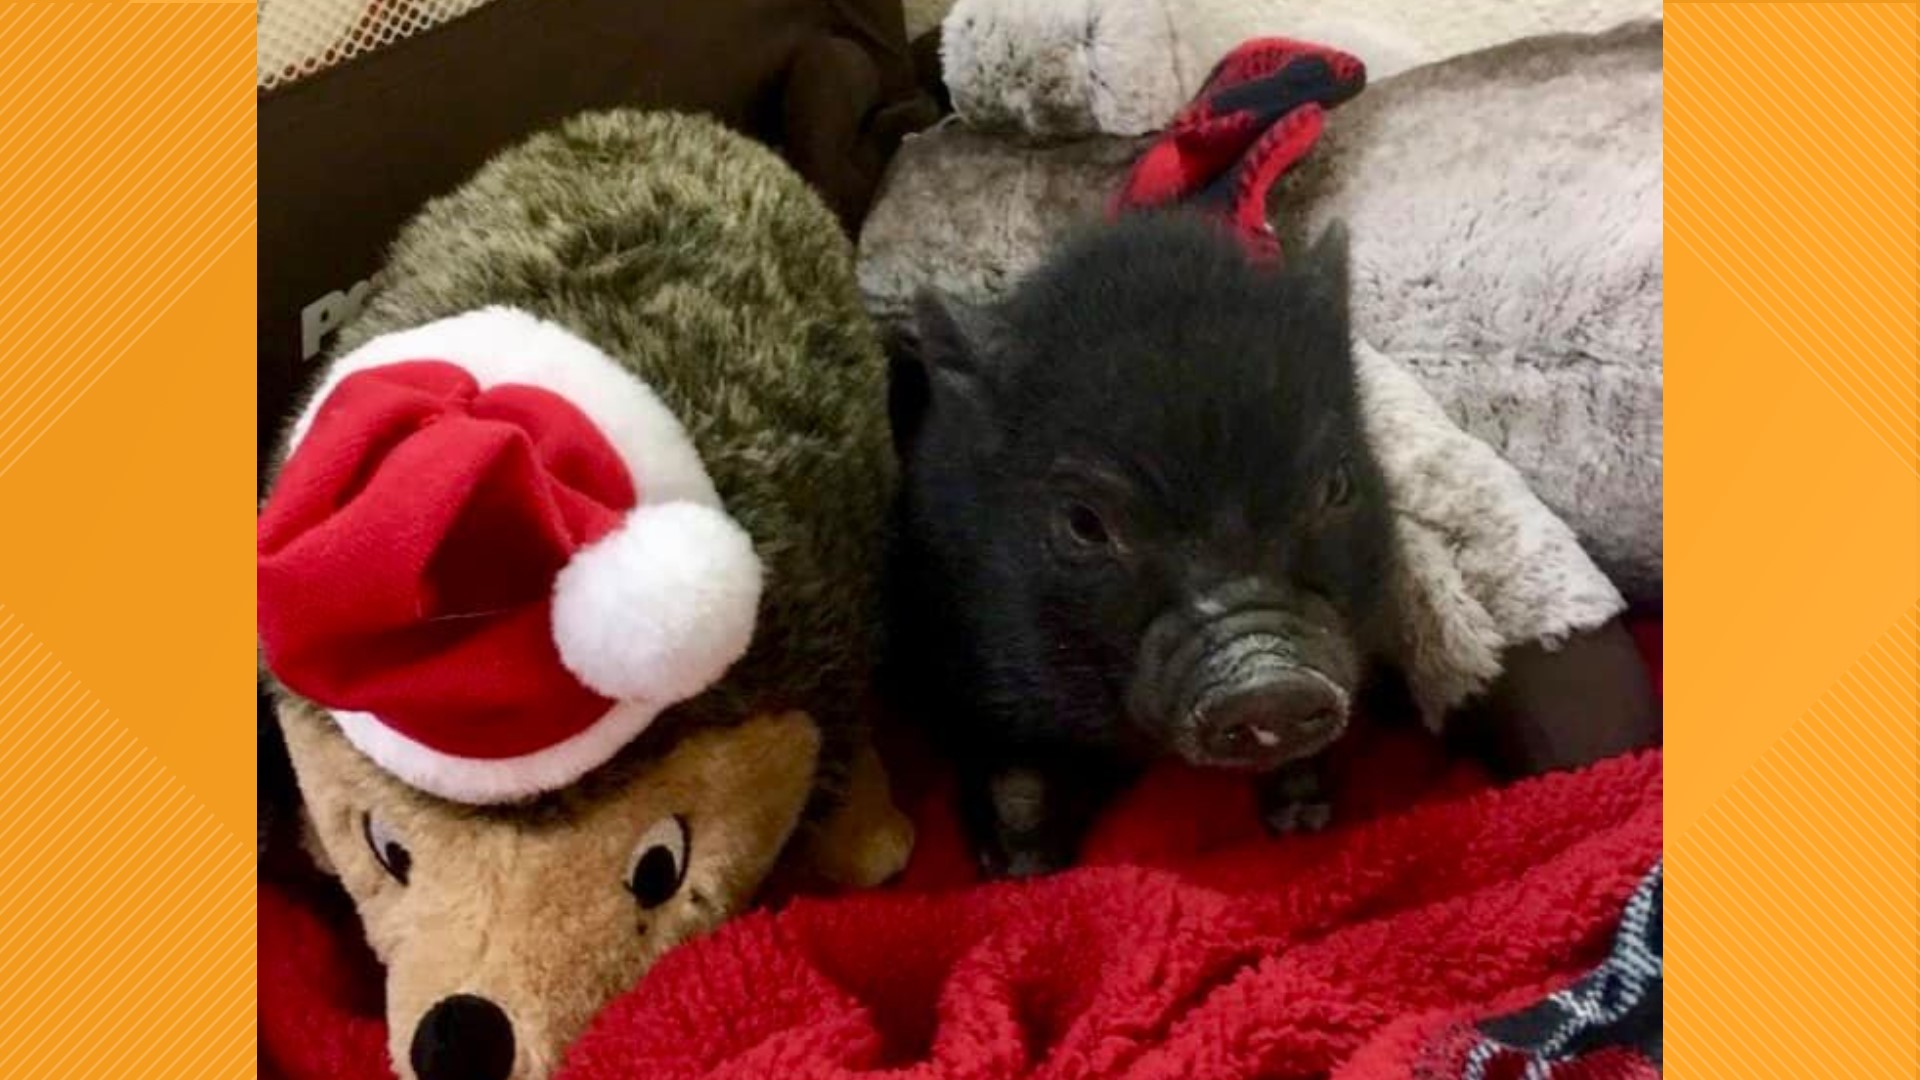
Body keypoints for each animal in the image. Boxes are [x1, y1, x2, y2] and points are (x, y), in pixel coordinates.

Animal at [884, 212, 1396, 876]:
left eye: (1336, 485)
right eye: (1083, 523)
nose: (1269, 683)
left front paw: (1303, 822)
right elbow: (1016, 773)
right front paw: (1023, 869)